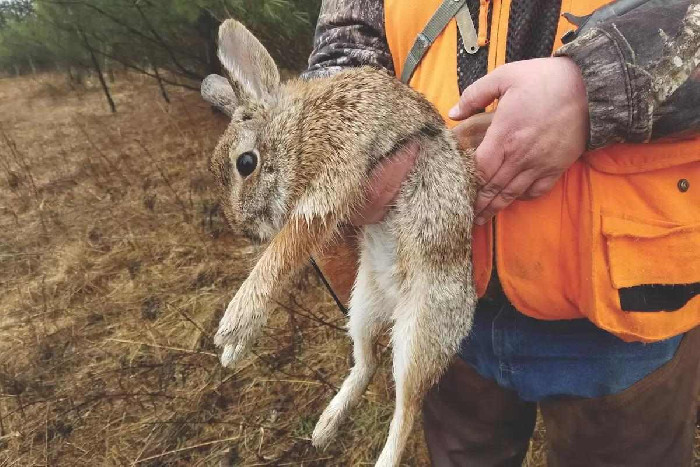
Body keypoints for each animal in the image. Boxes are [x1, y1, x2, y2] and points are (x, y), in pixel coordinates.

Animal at [201, 19, 478, 467]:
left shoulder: (334, 171)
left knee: (407, 406)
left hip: (423, 329)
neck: (300, 127)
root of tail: (391, 303)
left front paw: (233, 327)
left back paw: (380, 458)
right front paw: (233, 351)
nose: (245, 230)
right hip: (359, 306)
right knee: (366, 363)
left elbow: (283, 253)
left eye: (246, 163)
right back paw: (325, 428)